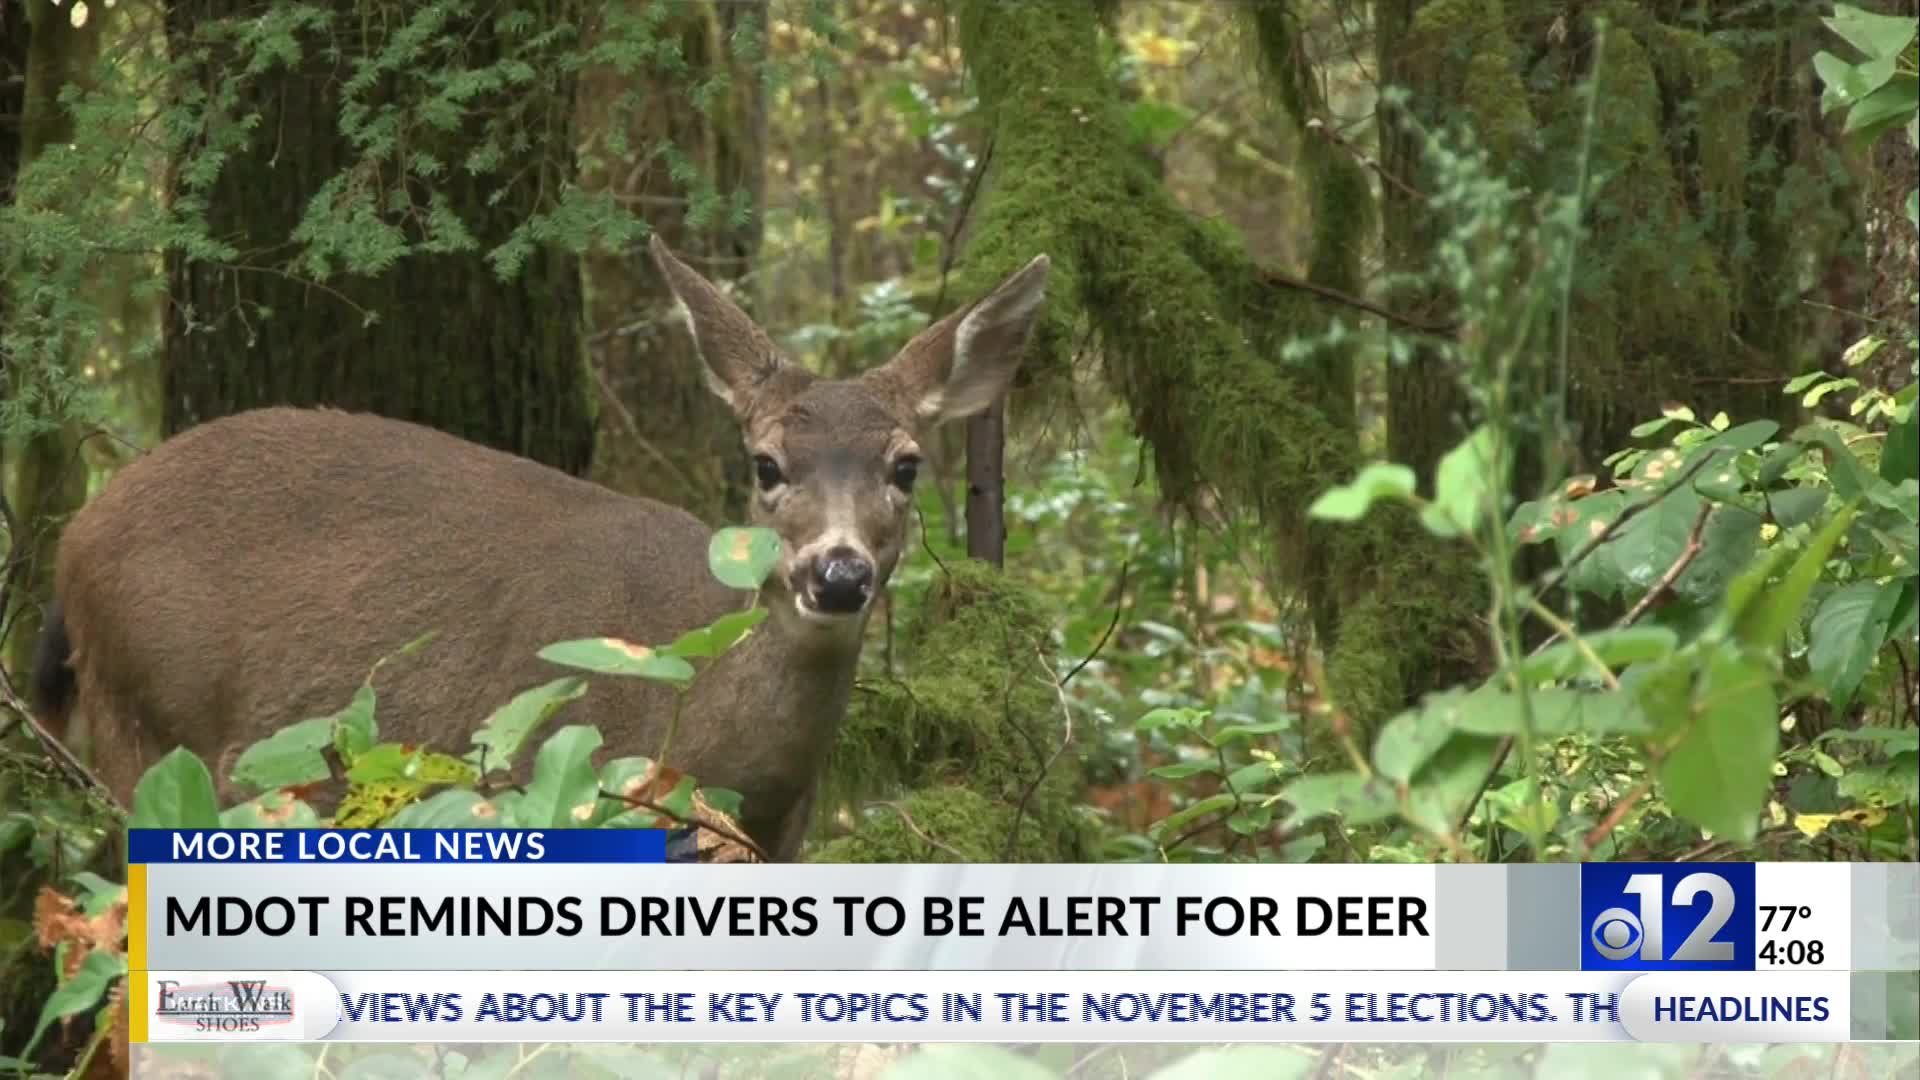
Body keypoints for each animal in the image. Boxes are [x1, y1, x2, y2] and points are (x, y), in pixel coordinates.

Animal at [32, 235, 1051, 861]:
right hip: (148, 722)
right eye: (765, 463)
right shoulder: (535, 793)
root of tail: (72, 538)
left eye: (907, 466)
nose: (837, 575)